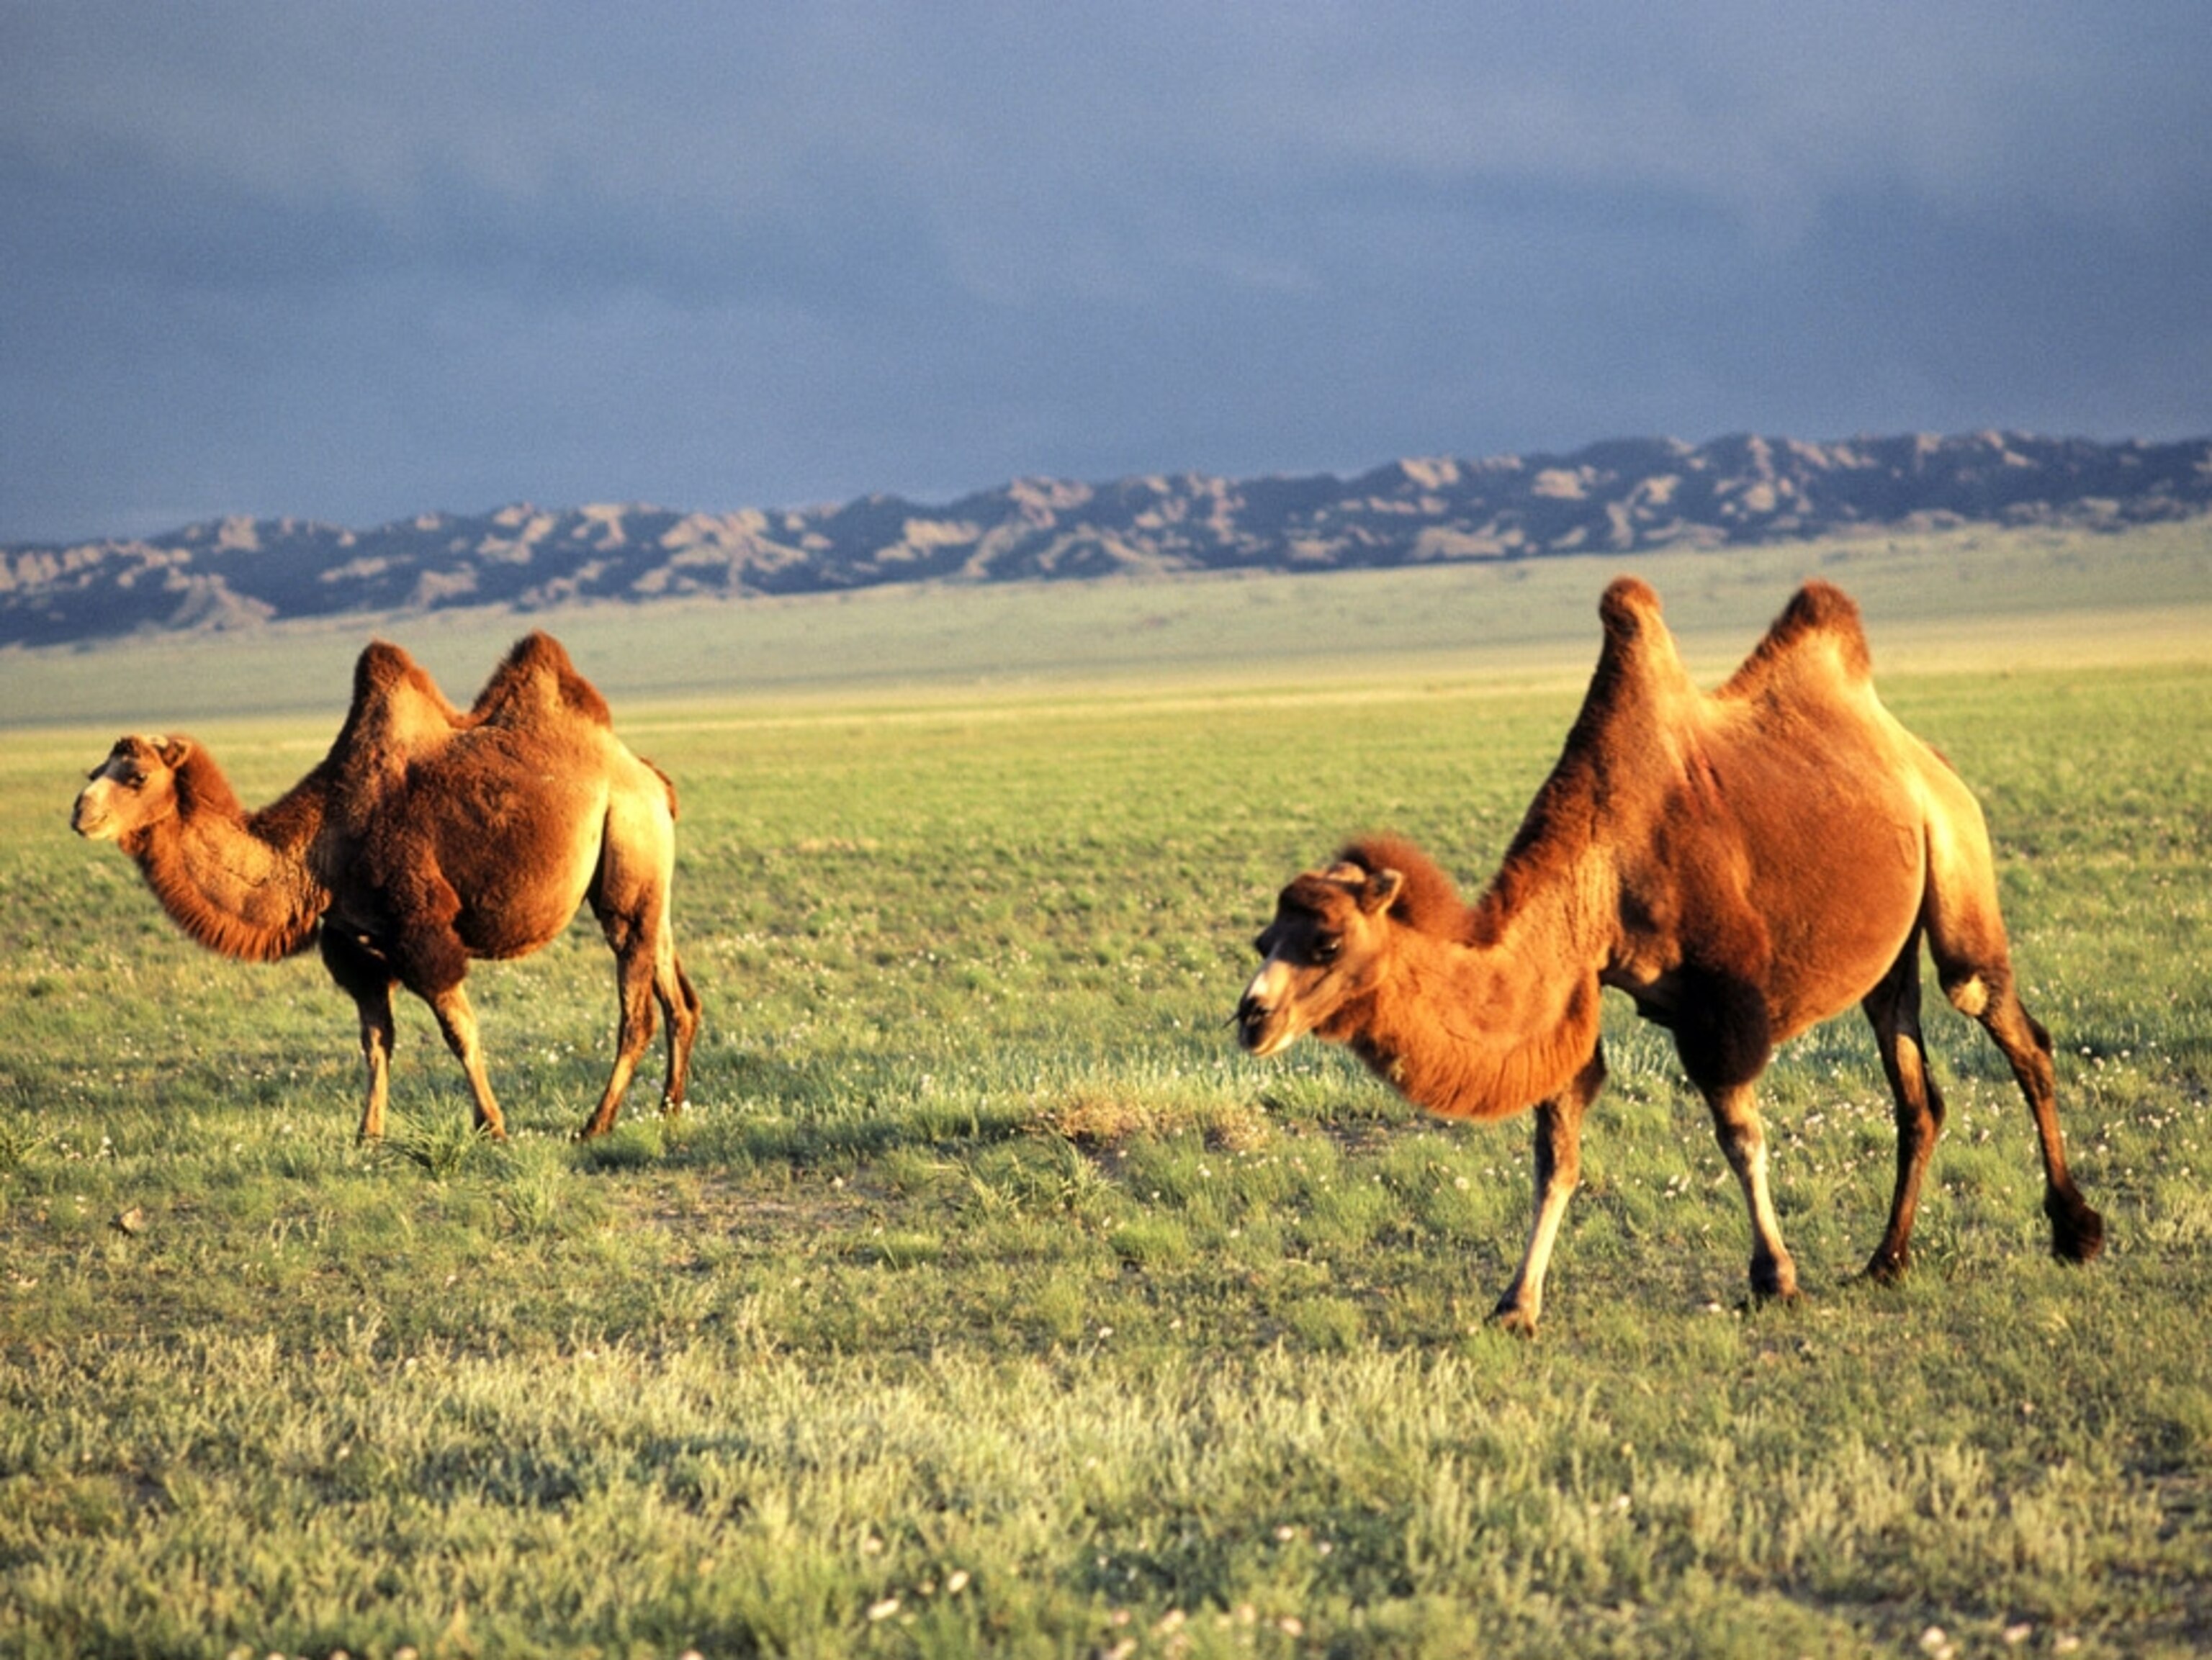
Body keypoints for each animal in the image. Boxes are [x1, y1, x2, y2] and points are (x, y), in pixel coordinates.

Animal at [72, 631, 701, 1142]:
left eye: (136, 776)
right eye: (92, 771)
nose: (80, 812)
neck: (321, 850)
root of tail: (651, 778)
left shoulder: (421, 932)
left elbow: (460, 1032)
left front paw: (492, 1127)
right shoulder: (356, 947)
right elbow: (376, 1043)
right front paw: (367, 1138)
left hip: (627, 846)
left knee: (637, 1006)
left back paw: (596, 1124)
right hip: (648, 875)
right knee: (679, 995)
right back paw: (668, 1109)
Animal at [1236, 577, 2103, 1331]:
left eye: (1327, 941)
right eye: (1261, 939)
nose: (1252, 1016)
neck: (1603, 867)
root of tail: (1926, 757)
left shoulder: (1722, 1007)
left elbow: (1742, 1137)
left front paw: (1775, 1276)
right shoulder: (1575, 994)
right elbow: (1557, 1153)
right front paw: (1516, 1304)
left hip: (1956, 862)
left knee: (2005, 1019)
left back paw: (2076, 1230)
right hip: (1889, 949)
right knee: (1916, 1090)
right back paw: (1886, 1260)